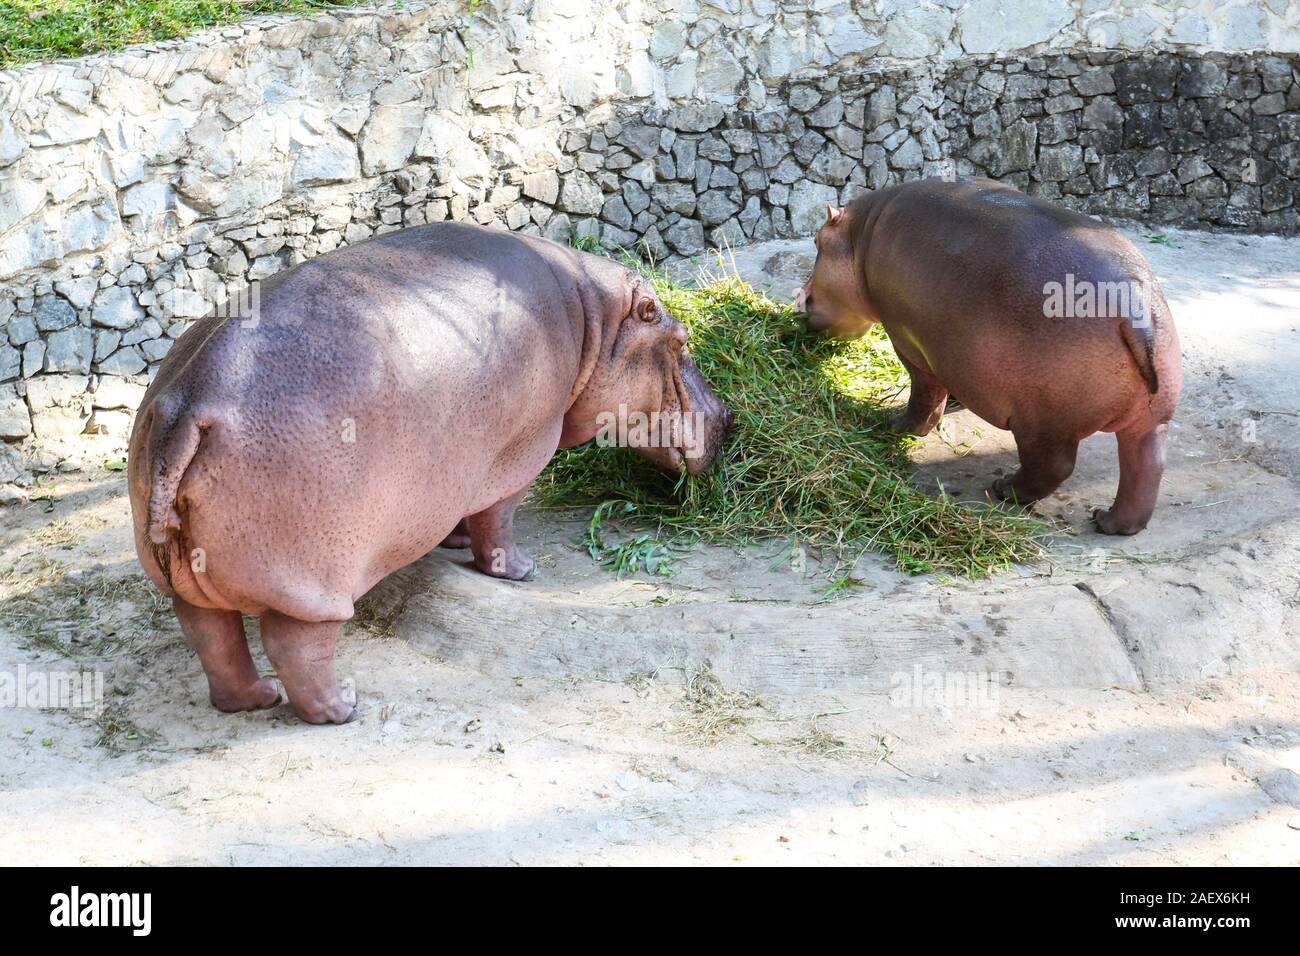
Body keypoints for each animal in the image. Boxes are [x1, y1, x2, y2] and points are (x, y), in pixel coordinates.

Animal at [129, 223, 732, 724]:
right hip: (311, 576)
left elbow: (465, 510)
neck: (595, 320)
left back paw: (251, 701)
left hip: (183, 574)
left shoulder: (462, 467)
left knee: (210, 634)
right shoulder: (519, 452)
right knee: (291, 641)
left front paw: (454, 541)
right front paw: (519, 571)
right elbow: (499, 518)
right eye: (681, 341)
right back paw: (342, 707)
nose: (728, 416)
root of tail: (191, 404)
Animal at [796, 177, 1181, 535]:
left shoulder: (905, 339)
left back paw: (1004, 490)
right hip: (1150, 421)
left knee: (1053, 466)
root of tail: (1133, 309)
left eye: (817, 243)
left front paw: (896, 426)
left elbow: (924, 394)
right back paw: (1108, 522)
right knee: (1145, 466)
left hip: (1042, 423)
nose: (801, 302)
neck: (859, 235)